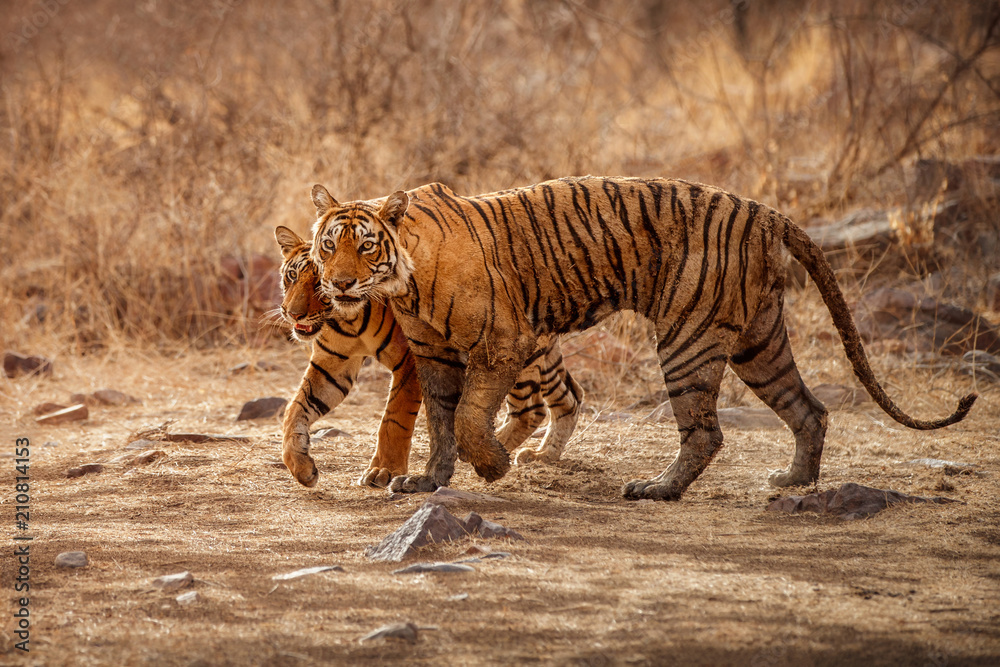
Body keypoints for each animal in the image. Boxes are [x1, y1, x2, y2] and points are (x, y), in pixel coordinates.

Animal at [274, 225, 583, 489]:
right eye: (292, 276)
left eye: (319, 283)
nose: (292, 313)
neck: (345, 318)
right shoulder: (332, 365)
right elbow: (295, 409)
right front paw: (301, 467)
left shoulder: (412, 359)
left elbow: (394, 418)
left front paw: (384, 471)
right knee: (568, 396)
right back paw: (542, 455)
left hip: (513, 349)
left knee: (531, 407)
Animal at [308, 177, 977, 500]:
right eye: (327, 243)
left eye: (364, 245)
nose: (338, 282)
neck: (406, 284)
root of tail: (764, 211)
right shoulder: (435, 354)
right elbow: (442, 421)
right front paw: (428, 481)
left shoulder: (506, 341)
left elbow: (471, 417)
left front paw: (493, 465)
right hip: (759, 341)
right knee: (808, 409)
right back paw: (792, 483)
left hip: (687, 339)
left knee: (706, 432)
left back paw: (658, 490)